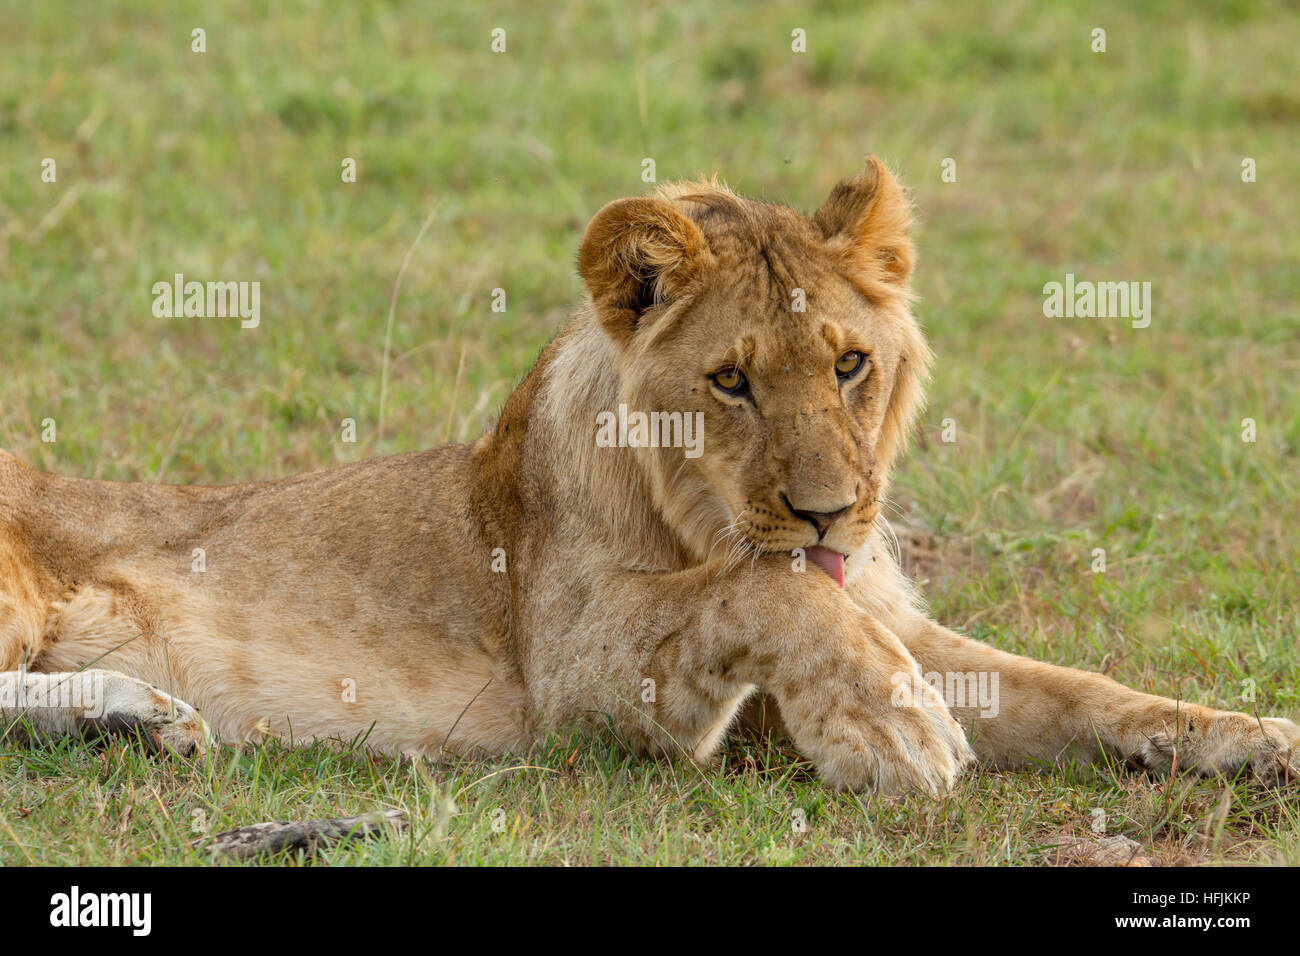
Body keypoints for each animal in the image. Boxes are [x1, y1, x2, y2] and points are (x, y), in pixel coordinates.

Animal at [2, 157, 1297, 795]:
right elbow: (761, 590)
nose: (830, 513)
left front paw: (1246, 737)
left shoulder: (889, 612)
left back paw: (136, 721)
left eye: (850, 363)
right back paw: (132, 712)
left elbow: (1078, 688)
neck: (699, 514)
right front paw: (890, 728)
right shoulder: (569, 674)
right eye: (730, 381)